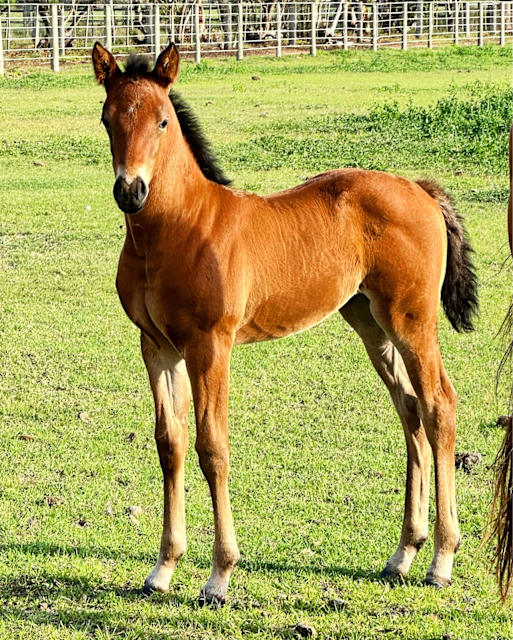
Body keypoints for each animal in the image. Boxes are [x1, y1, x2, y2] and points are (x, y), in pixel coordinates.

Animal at [92, 42, 478, 607]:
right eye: (107, 118)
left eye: (162, 121)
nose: (131, 191)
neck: (173, 230)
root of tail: (420, 189)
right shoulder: (157, 346)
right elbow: (170, 443)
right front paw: (163, 568)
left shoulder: (211, 345)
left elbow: (212, 446)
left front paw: (219, 575)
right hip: (370, 321)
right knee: (410, 411)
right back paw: (404, 553)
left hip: (411, 320)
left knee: (438, 406)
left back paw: (442, 560)